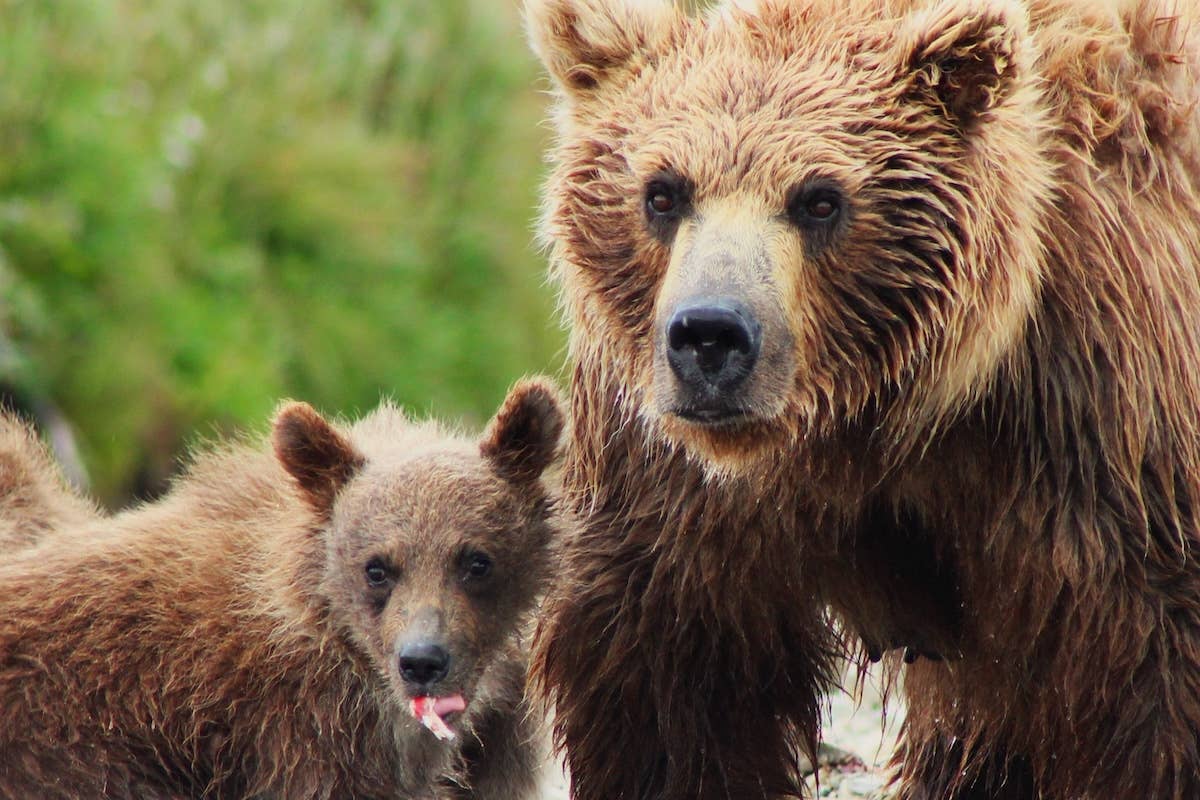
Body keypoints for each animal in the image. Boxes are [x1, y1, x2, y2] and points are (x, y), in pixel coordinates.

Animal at [522, 0, 1200, 798]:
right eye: (663, 191)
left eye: (820, 199)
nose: (711, 336)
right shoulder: (680, 474)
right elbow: (668, 680)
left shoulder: (1095, 424)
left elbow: (1150, 678)